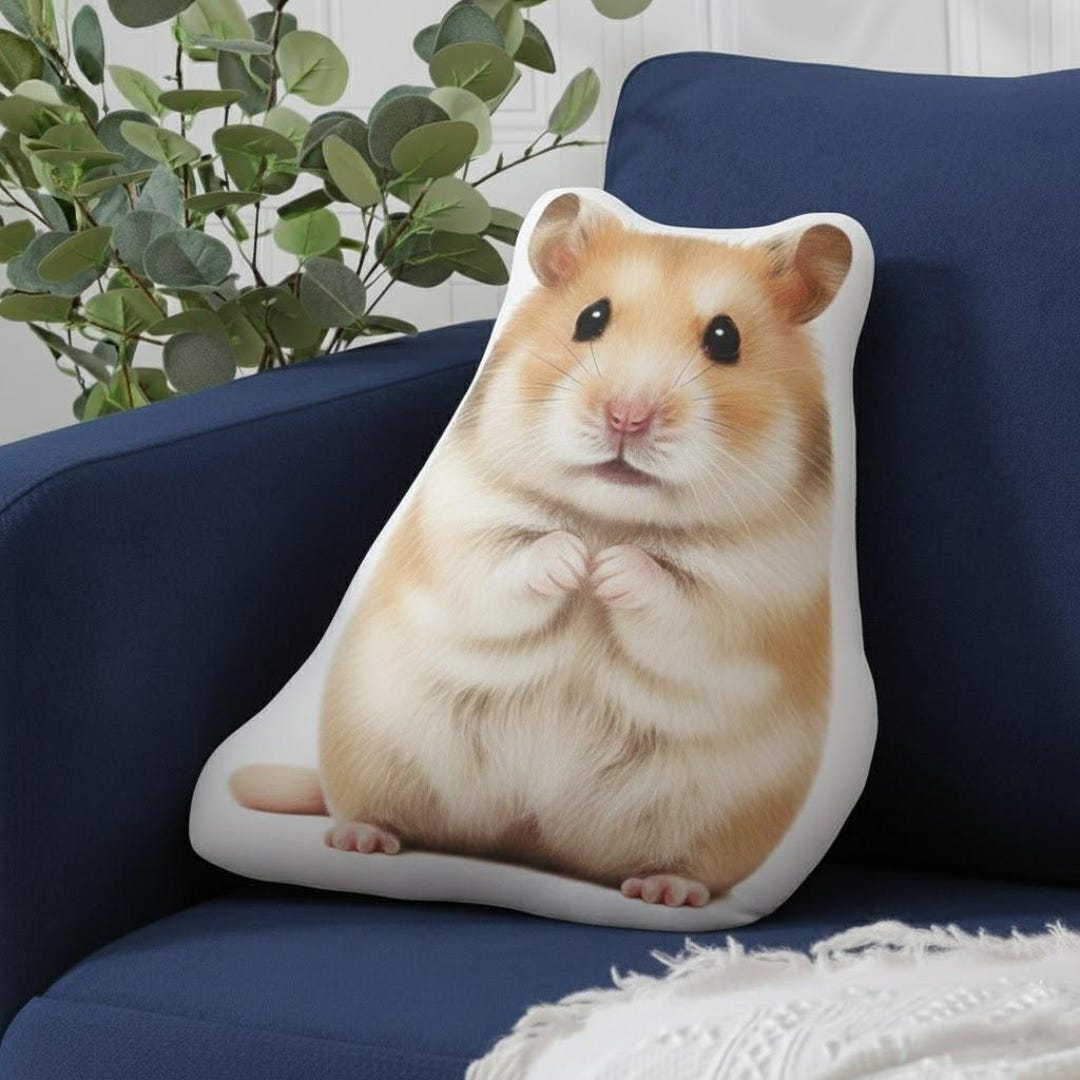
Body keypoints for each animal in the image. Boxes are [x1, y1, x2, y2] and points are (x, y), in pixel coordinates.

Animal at [230, 193, 852, 908]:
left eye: (726, 339)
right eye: (591, 318)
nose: (627, 417)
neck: (609, 515)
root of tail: (529, 842)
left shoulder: (750, 597)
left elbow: (674, 602)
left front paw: (607, 569)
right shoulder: (462, 534)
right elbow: (514, 561)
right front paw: (575, 561)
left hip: (718, 816)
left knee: (680, 863)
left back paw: (665, 890)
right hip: (374, 749)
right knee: (375, 811)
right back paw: (363, 838)